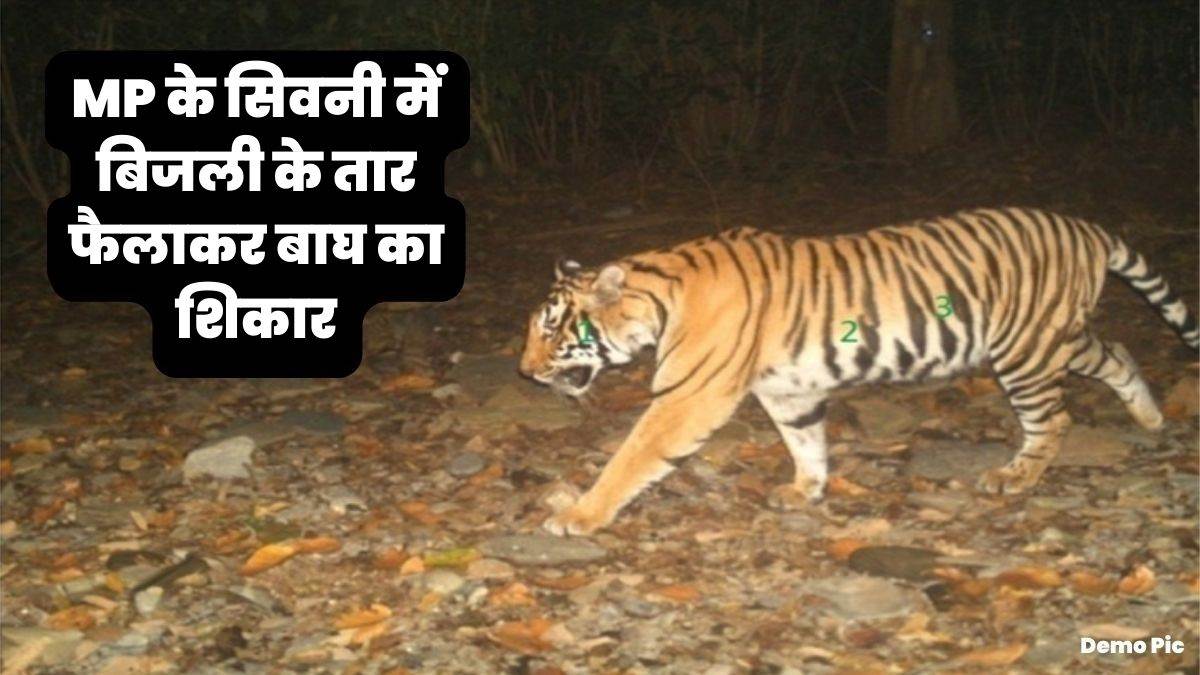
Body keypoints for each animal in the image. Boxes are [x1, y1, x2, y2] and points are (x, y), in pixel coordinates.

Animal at [519, 207, 1199, 536]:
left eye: (550, 329)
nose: (523, 373)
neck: (659, 295)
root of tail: (1086, 227)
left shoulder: (690, 395)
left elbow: (632, 456)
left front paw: (578, 515)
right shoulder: (788, 389)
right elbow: (806, 441)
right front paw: (806, 490)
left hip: (1025, 351)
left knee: (1052, 420)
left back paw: (1015, 478)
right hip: (1054, 337)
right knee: (1117, 353)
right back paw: (1148, 415)